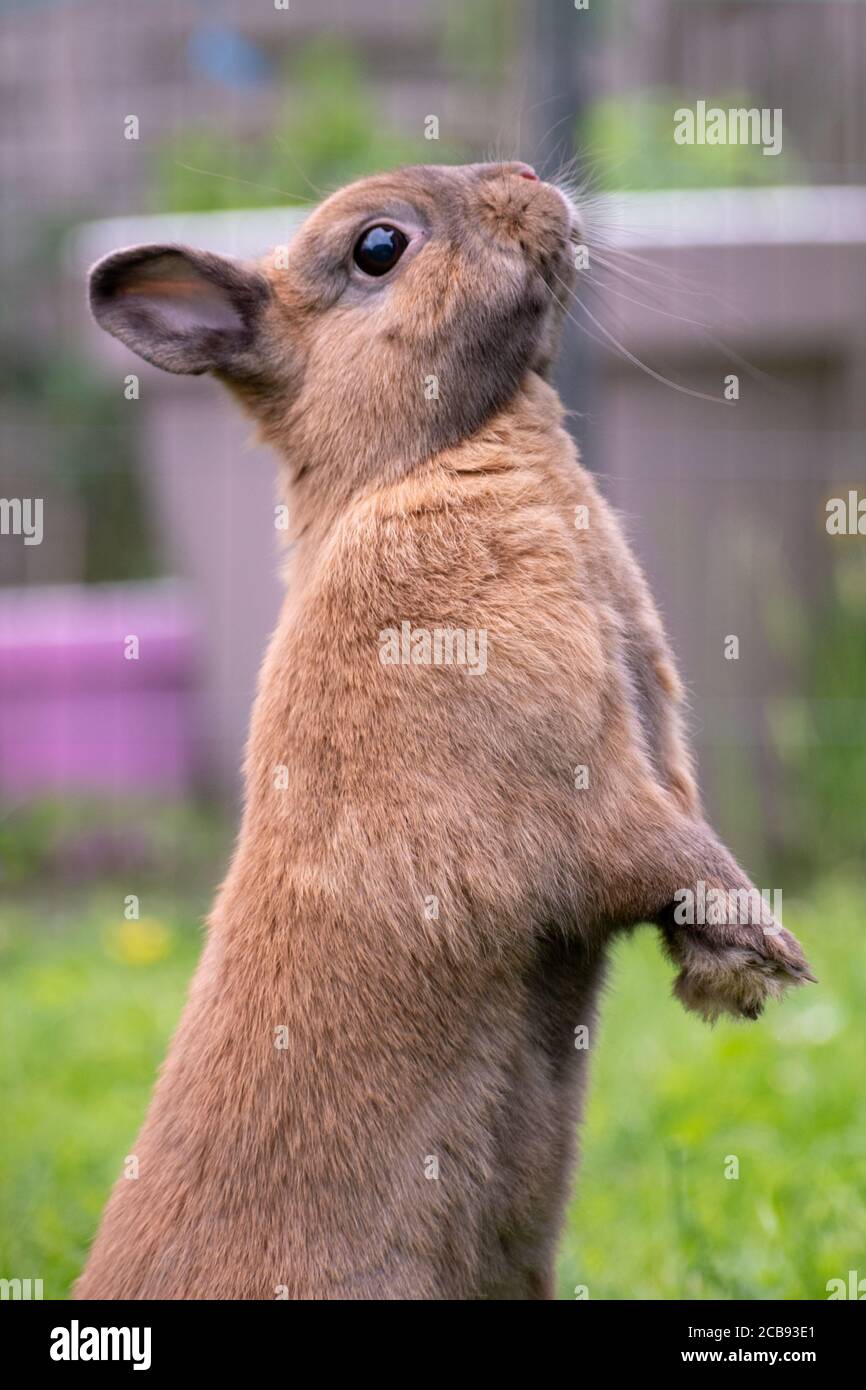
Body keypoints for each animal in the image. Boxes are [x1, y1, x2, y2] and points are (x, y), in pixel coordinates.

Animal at [74, 161, 814, 1301]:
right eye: (378, 248)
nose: (530, 179)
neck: (427, 458)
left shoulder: (650, 757)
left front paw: (730, 965)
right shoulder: (585, 793)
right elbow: (660, 852)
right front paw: (763, 957)